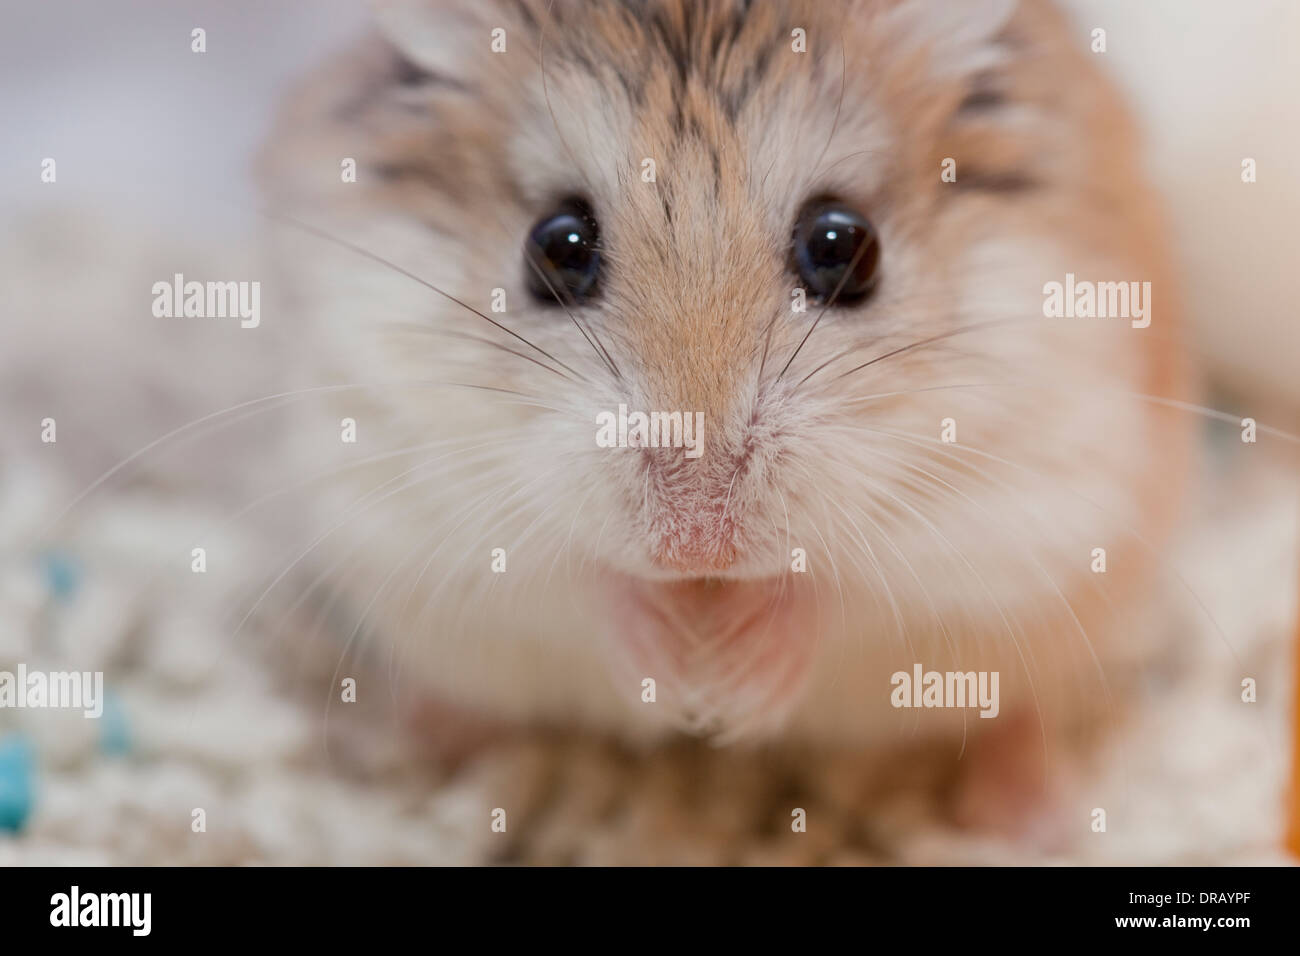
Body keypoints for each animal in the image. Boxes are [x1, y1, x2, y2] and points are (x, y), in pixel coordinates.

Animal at [258, 0, 1189, 756]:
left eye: (842, 246)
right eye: (555, 246)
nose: (695, 546)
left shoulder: (1022, 502)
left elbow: (841, 591)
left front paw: (726, 690)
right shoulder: (403, 492)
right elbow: (576, 580)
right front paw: (682, 683)